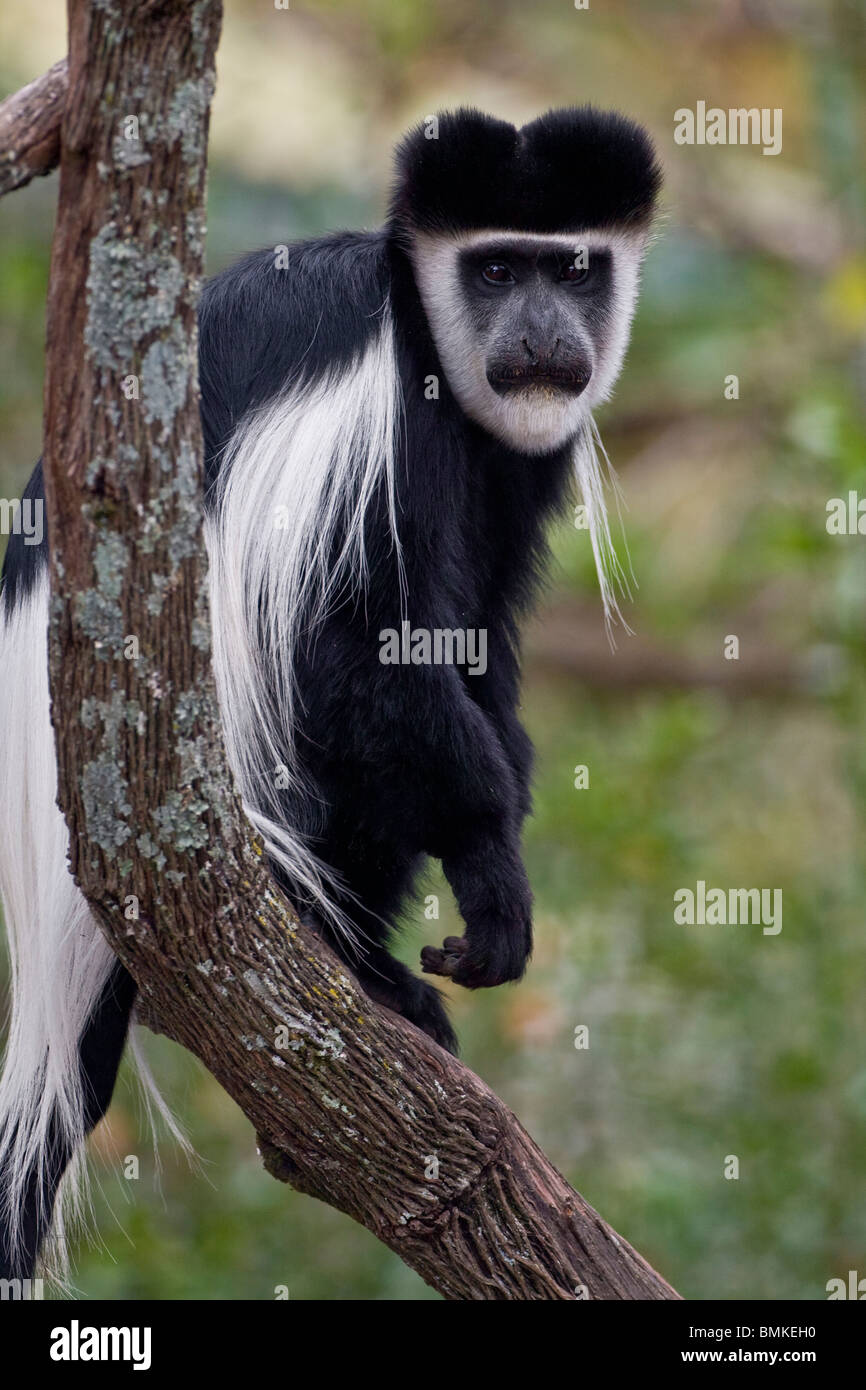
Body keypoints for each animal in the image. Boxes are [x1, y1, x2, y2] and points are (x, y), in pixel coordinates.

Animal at [0, 106, 661, 1279]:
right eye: (496, 268)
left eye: (573, 268)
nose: (540, 332)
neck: (425, 333)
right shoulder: (377, 408)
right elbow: (348, 648)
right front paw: (492, 870)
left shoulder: (508, 466)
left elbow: (474, 639)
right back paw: (358, 971)